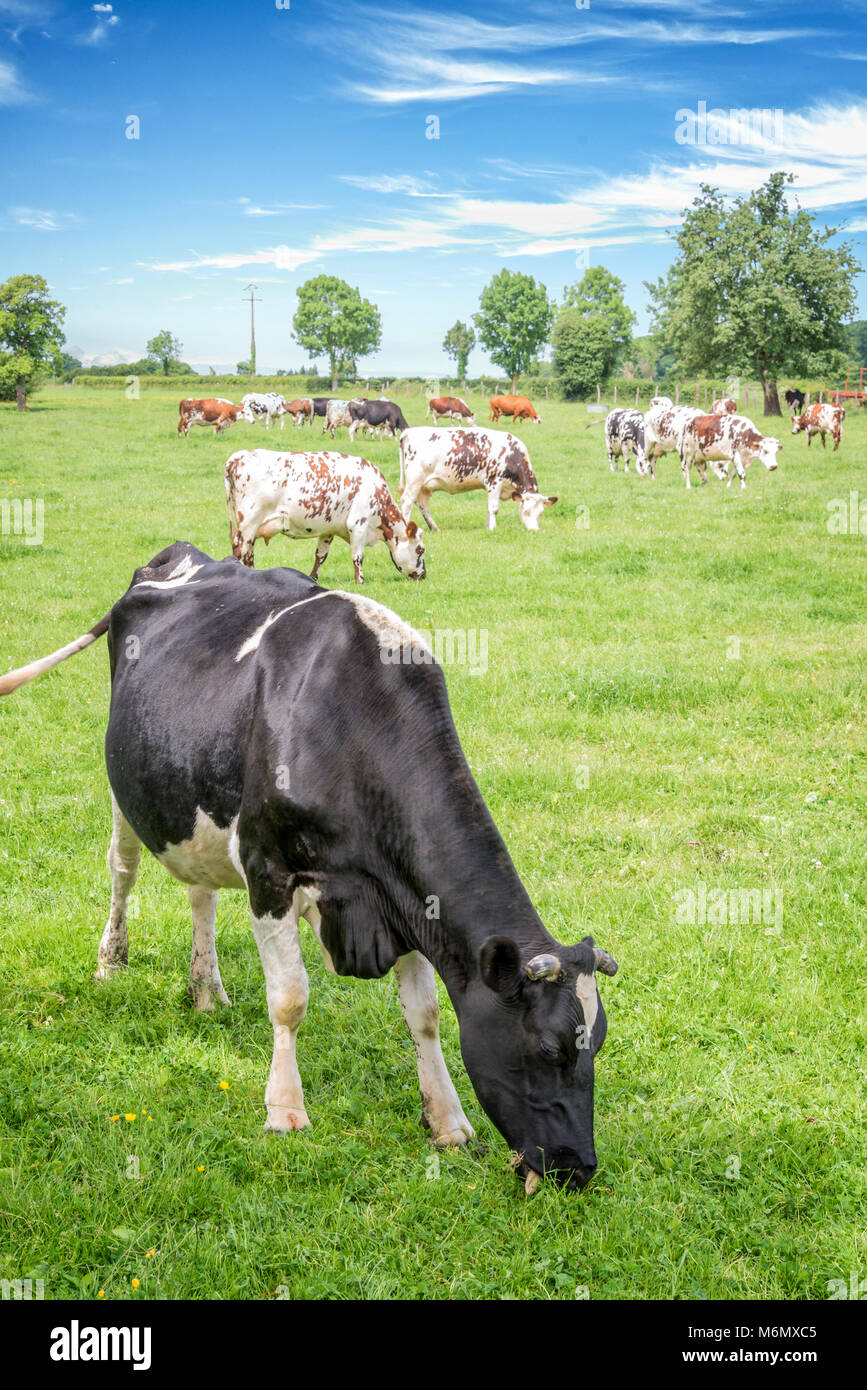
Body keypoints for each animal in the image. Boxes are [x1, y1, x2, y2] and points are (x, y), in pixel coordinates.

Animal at [0, 541, 618, 1192]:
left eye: (597, 1045)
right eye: (550, 1048)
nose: (579, 1167)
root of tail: (174, 556)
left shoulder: (405, 901)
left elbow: (425, 1016)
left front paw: (447, 1121)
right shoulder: (268, 871)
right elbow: (290, 999)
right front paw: (285, 1110)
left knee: (201, 894)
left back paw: (206, 989)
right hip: (128, 788)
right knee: (123, 870)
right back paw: (112, 962)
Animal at [225, 448, 426, 583]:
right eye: (420, 550)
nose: (423, 574)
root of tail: (238, 457)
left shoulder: (328, 530)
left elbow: (320, 556)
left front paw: (313, 577)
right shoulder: (358, 524)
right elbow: (358, 556)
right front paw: (360, 580)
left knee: (249, 553)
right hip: (248, 523)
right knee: (240, 549)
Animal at [399, 427, 557, 532]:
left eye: (541, 513)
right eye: (526, 511)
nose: (534, 530)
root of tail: (409, 431)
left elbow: (488, 507)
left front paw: (487, 527)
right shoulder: (494, 482)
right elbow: (494, 508)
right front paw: (493, 528)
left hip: (425, 485)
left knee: (422, 504)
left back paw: (435, 528)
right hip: (414, 481)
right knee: (407, 501)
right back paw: (406, 527)